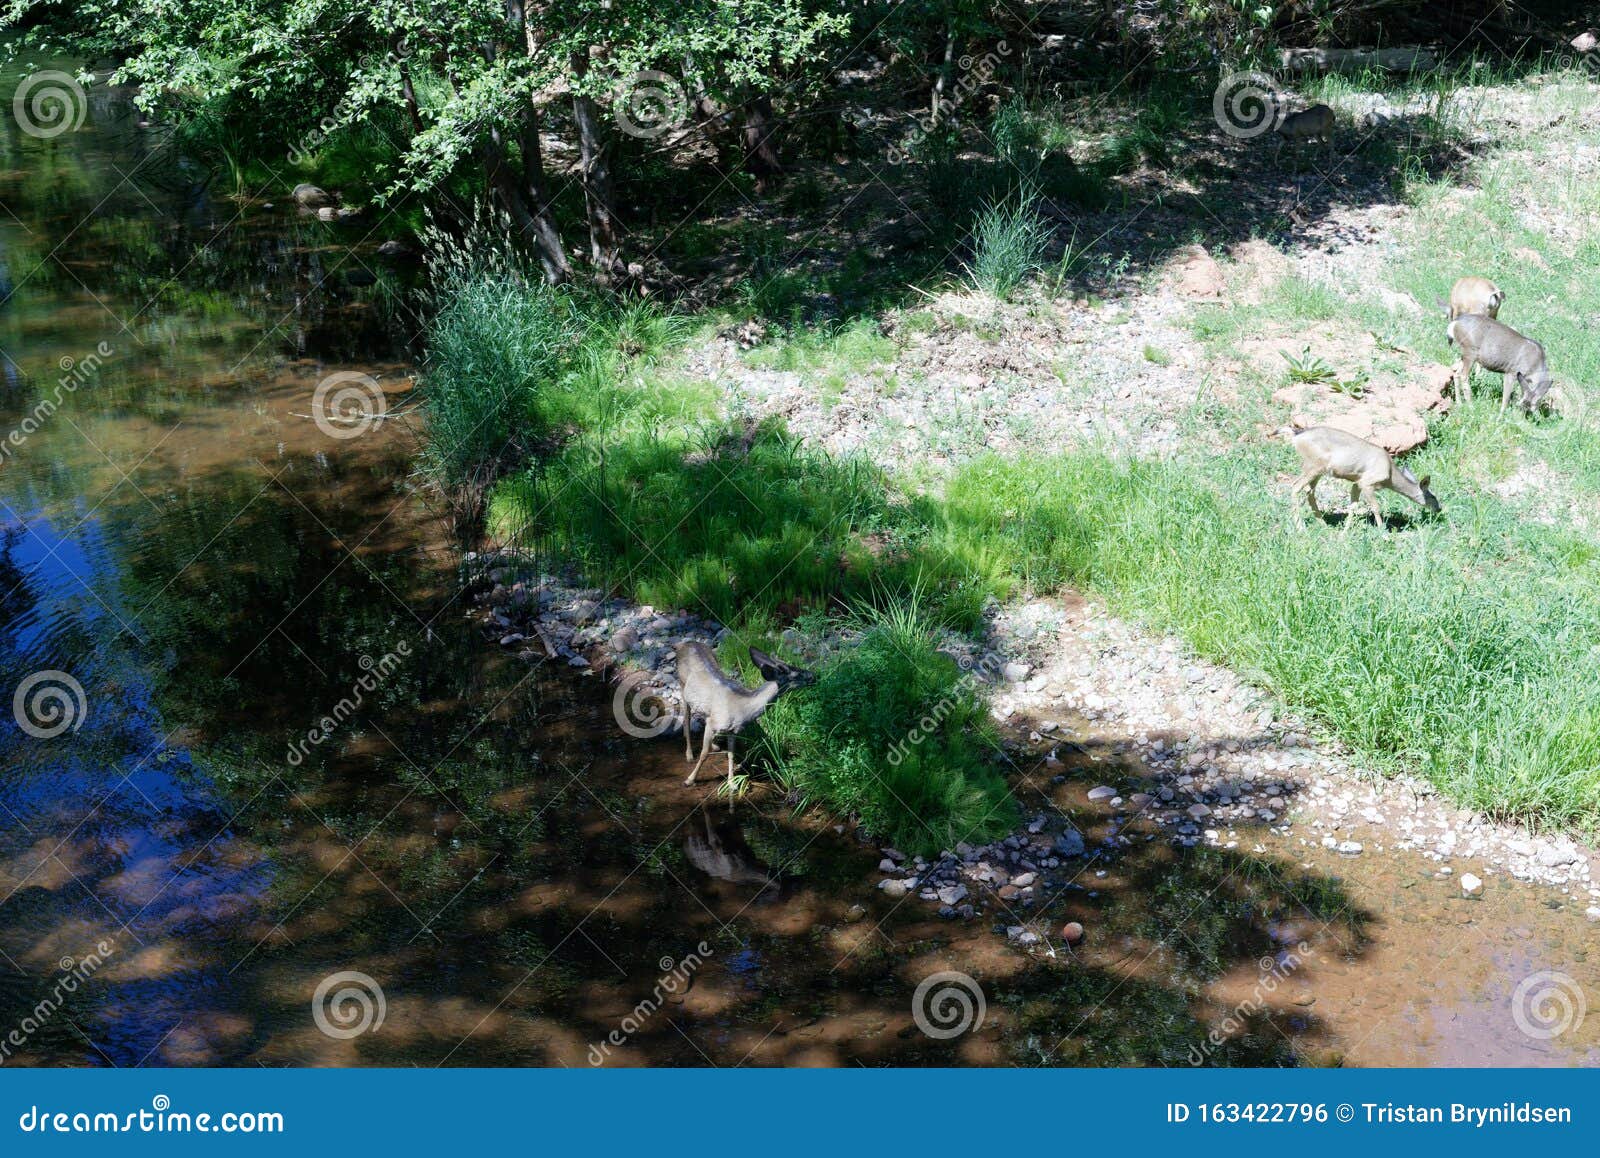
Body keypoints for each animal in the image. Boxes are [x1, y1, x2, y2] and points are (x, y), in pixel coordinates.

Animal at [676, 642, 814, 786]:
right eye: (794, 675)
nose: (813, 676)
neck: (742, 710)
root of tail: (686, 643)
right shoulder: (713, 723)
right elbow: (704, 754)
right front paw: (689, 780)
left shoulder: (732, 730)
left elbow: (731, 754)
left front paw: (731, 783)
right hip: (682, 684)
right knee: (686, 719)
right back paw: (689, 755)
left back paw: (714, 746)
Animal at [1290, 425, 1440, 527]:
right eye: (1433, 496)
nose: (1439, 508)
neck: (1390, 476)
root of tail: (1296, 437)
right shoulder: (1367, 482)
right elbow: (1375, 507)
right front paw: (1383, 533)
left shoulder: (1357, 482)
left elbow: (1353, 506)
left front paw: (1344, 534)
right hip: (1314, 466)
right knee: (1295, 486)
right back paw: (1300, 527)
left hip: (1316, 470)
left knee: (1309, 492)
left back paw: (1323, 524)